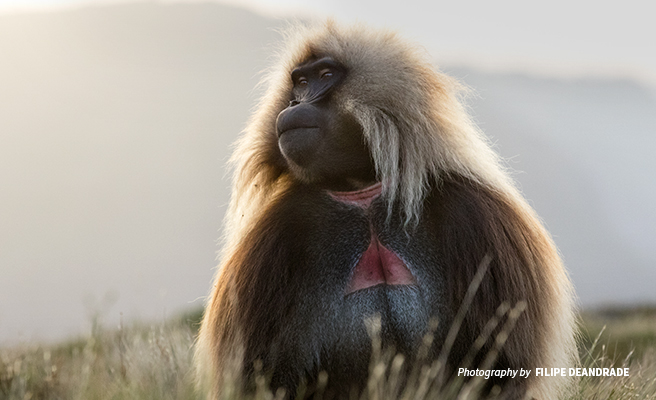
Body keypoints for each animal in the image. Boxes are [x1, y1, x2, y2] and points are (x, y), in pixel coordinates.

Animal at [196, 21, 577, 400]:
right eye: (300, 82)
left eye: (324, 75)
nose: (295, 104)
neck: (361, 191)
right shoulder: (277, 234)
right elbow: (260, 373)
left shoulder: (477, 214)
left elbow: (500, 363)